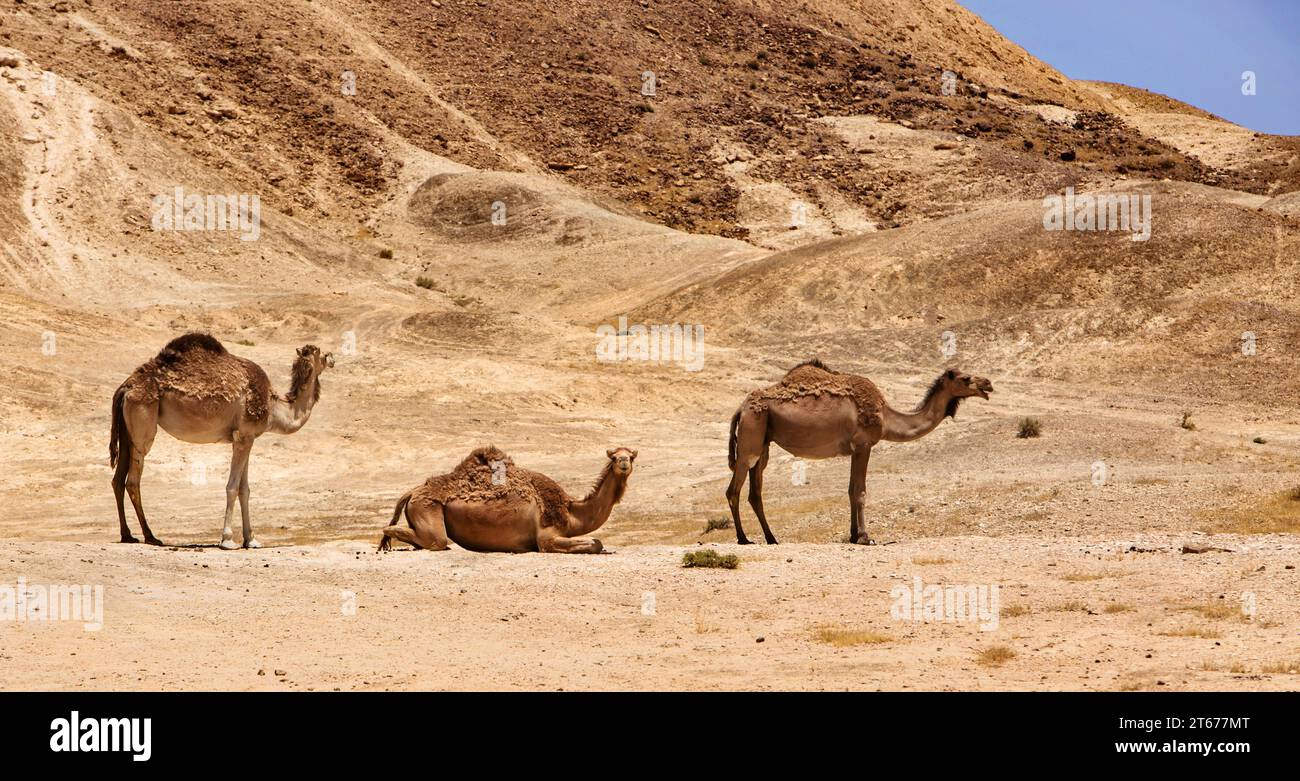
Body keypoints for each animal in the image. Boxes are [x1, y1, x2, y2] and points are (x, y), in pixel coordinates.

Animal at [109, 333, 333, 548]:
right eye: (323, 354)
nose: (332, 358)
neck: (273, 407)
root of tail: (125, 387)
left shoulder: (245, 438)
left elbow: (245, 489)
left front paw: (251, 540)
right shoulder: (244, 436)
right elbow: (232, 488)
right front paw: (227, 540)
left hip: (127, 431)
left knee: (118, 479)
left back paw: (128, 535)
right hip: (143, 421)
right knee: (133, 480)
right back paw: (151, 536)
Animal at [378, 445, 636, 554]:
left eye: (631, 456)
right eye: (614, 457)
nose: (624, 462)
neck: (570, 511)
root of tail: (414, 490)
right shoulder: (546, 537)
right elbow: (595, 543)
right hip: (427, 507)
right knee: (435, 540)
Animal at [726, 360, 993, 546]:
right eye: (966, 378)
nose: (988, 384)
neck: (886, 417)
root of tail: (741, 407)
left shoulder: (855, 449)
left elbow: (851, 491)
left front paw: (854, 535)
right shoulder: (864, 444)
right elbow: (861, 491)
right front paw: (866, 537)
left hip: (763, 444)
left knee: (755, 493)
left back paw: (771, 538)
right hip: (752, 435)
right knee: (733, 490)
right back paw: (743, 538)